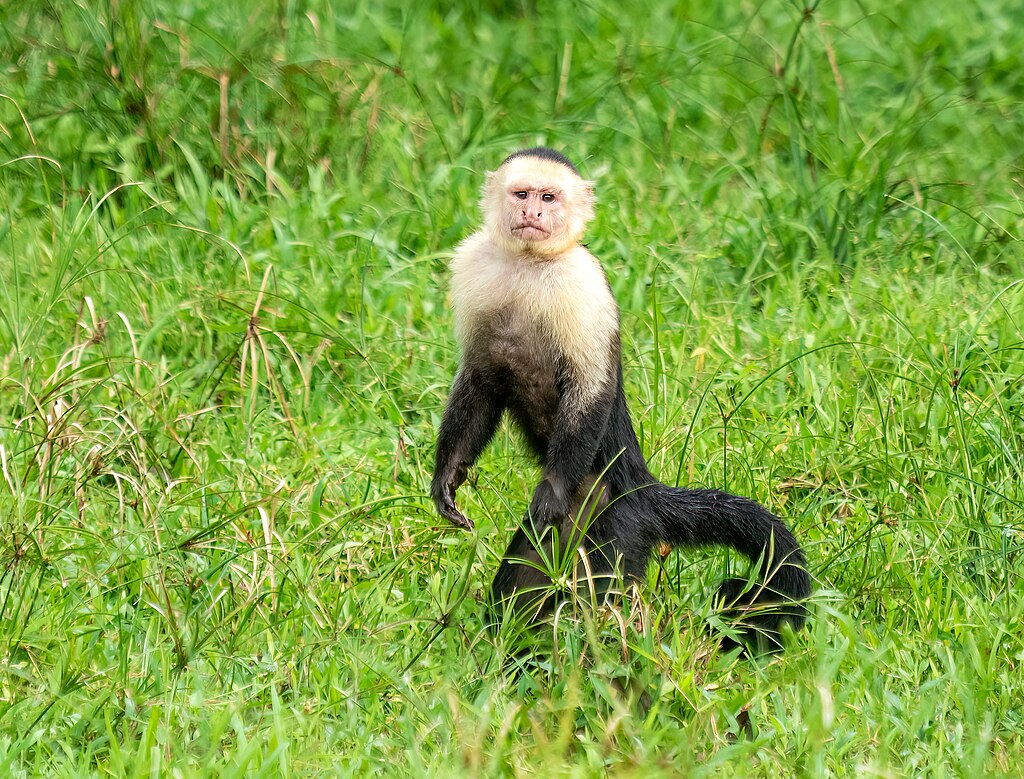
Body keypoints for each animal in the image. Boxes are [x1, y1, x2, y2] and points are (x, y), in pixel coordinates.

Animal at [431, 147, 810, 652]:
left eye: (549, 197)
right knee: (525, 579)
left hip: (614, 519)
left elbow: (591, 387)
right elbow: (478, 384)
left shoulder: (585, 287)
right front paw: (447, 479)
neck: (529, 266)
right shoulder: (473, 267)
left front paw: (550, 490)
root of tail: (641, 488)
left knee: (605, 586)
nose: (532, 214)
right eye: (522, 194)